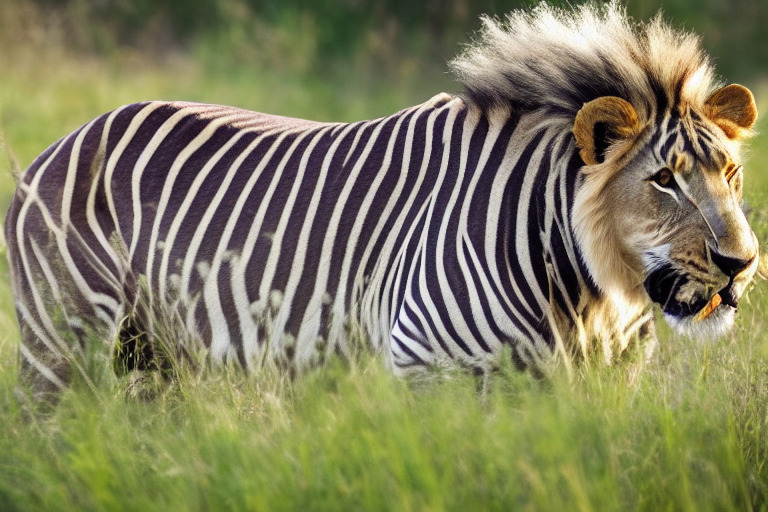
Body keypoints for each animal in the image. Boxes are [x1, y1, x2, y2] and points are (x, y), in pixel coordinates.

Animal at [4, 3, 759, 400]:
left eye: (731, 175)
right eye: (663, 181)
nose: (741, 265)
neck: (587, 290)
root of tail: (61, 142)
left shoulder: (601, 390)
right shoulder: (431, 371)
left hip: (155, 357)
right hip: (65, 344)